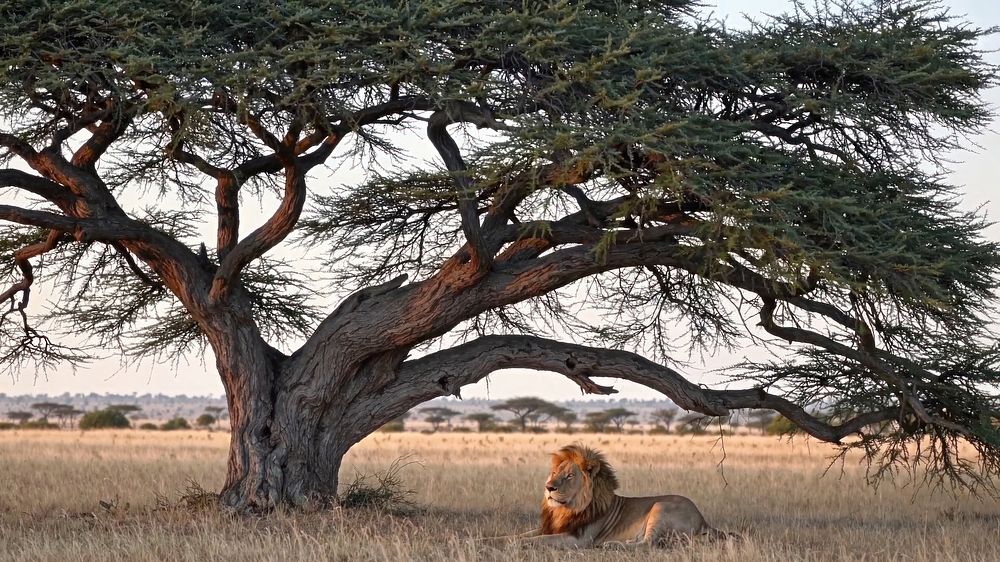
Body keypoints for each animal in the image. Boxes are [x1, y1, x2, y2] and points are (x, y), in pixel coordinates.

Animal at [496, 444, 733, 549]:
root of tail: (703, 520)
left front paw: (515, 545)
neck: (565, 509)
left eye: (570, 476)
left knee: (647, 544)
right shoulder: (552, 527)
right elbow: (518, 535)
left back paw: (612, 545)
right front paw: (493, 540)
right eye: (554, 473)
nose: (549, 487)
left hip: (661, 506)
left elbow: (538, 540)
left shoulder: (579, 538)